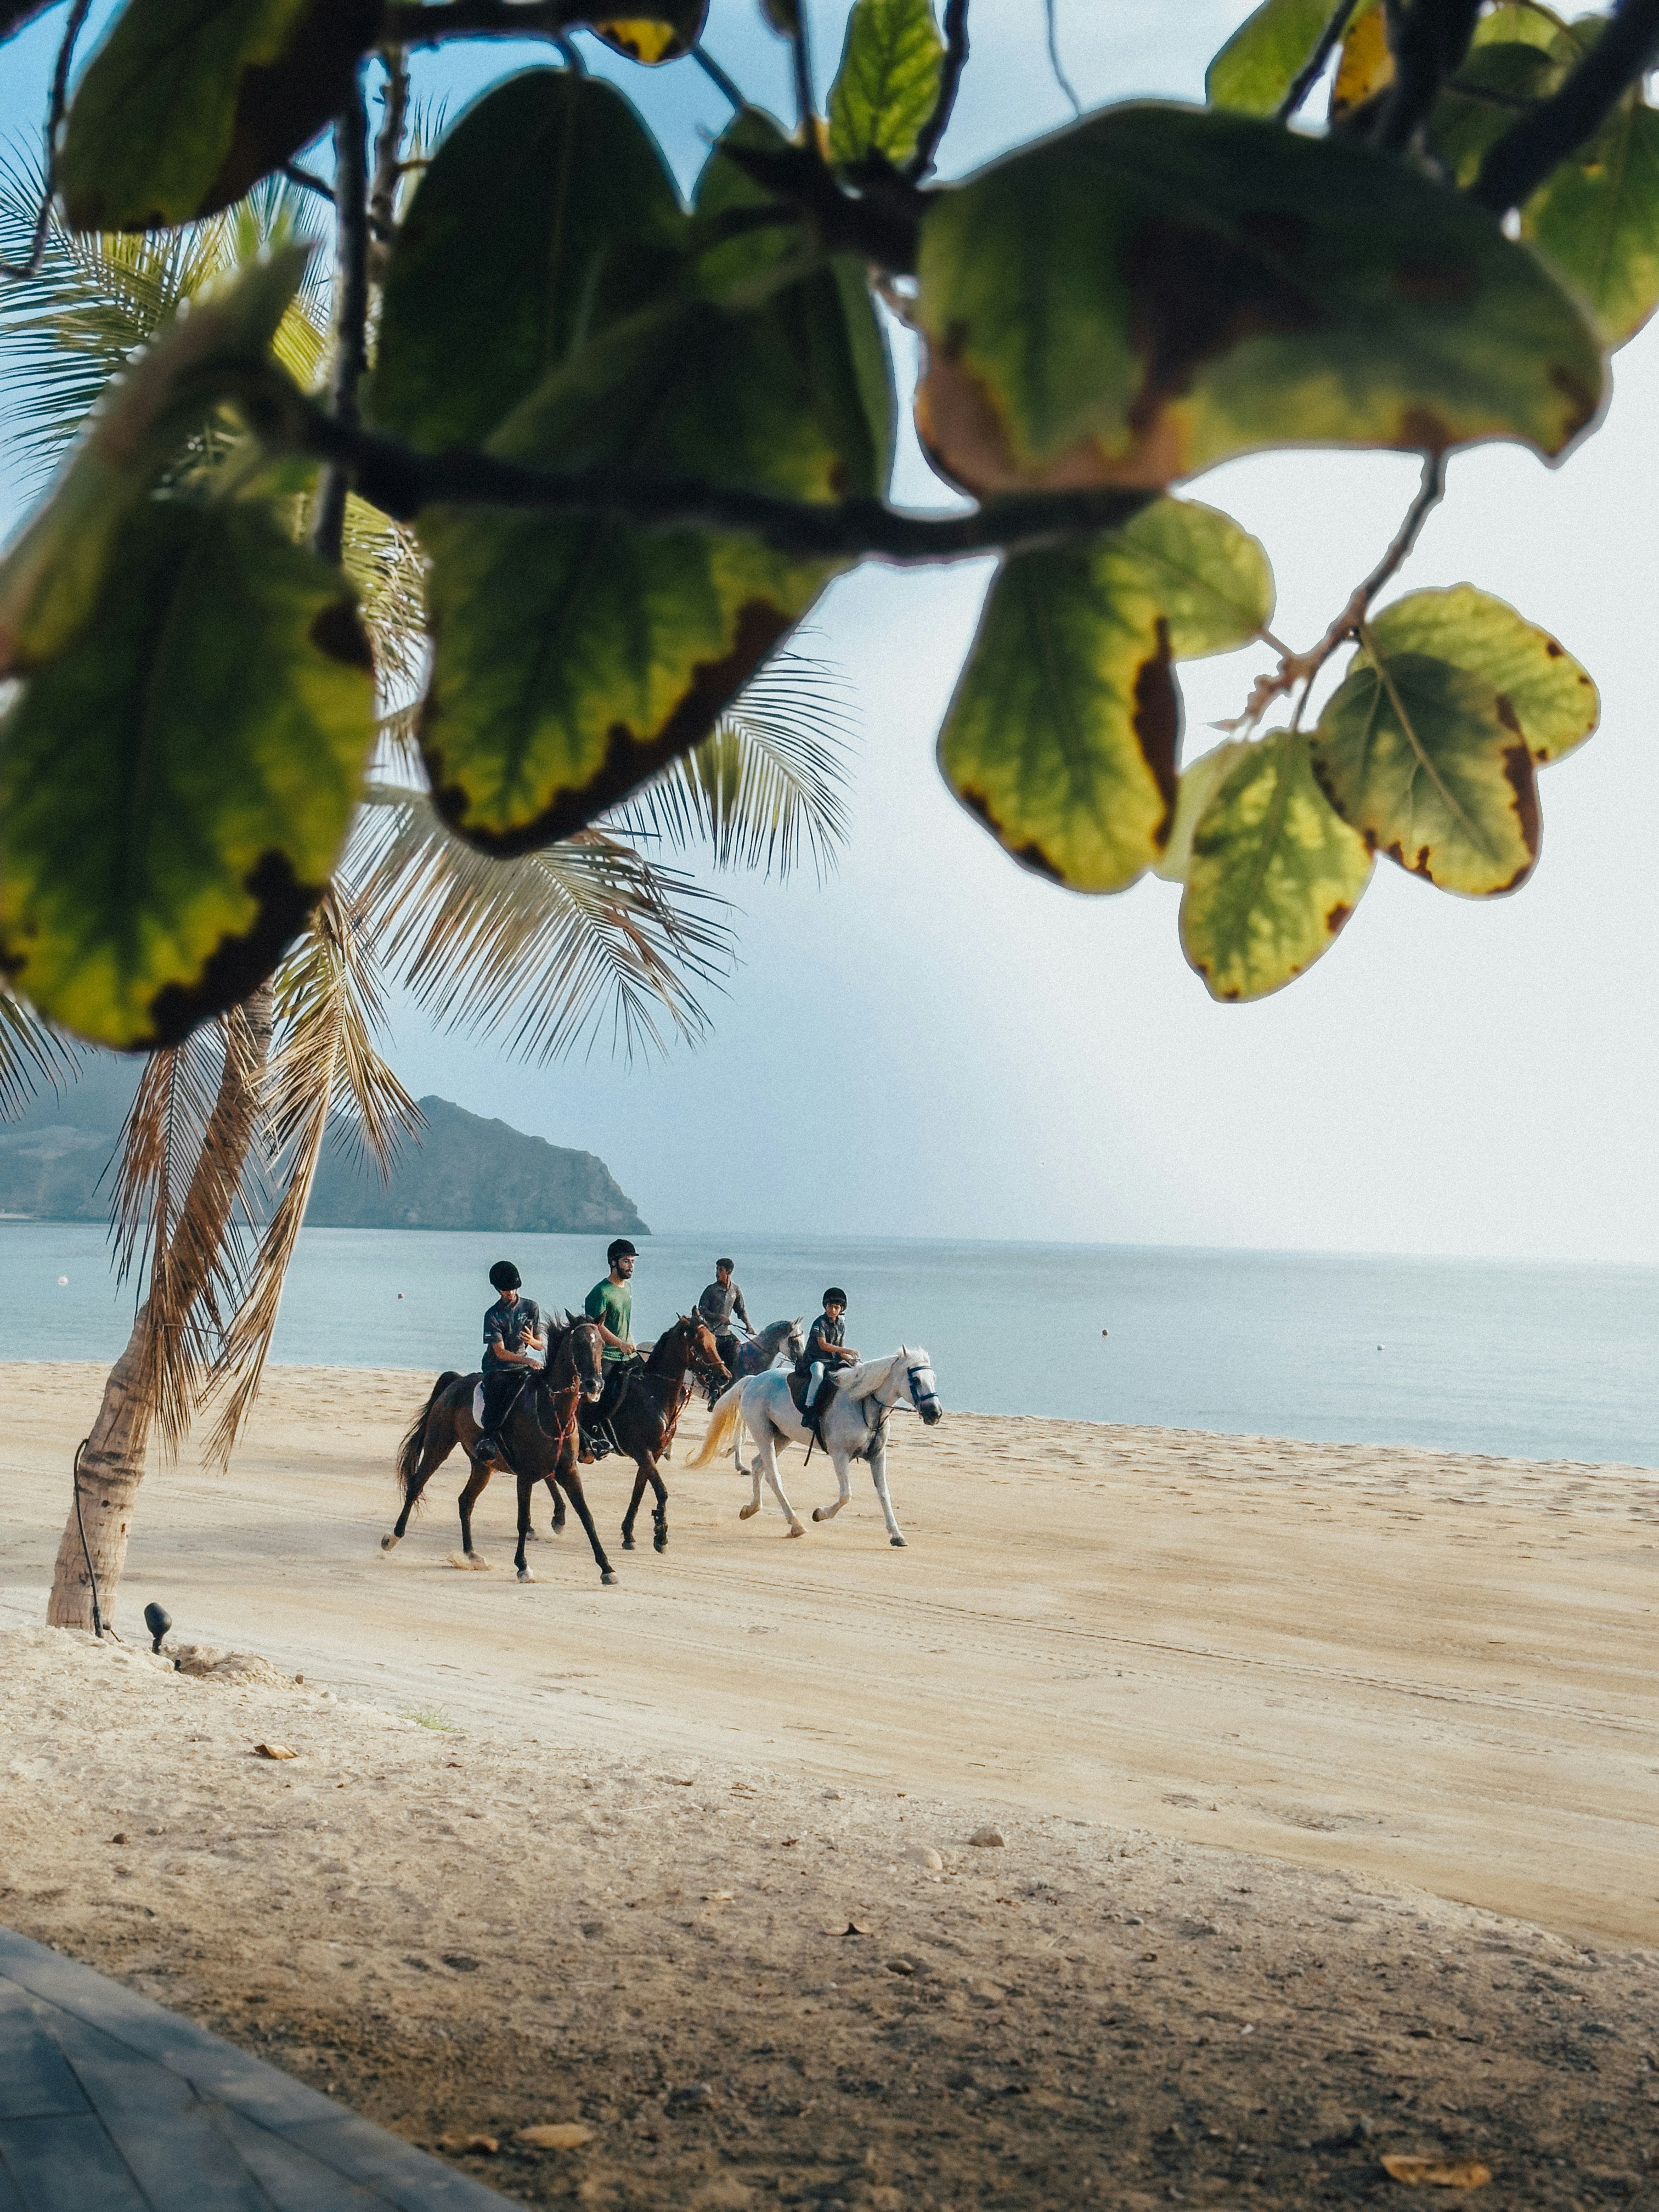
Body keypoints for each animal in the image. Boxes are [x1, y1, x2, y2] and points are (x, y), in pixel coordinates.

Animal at [383, 1319, 615, 1584]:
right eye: (577, 1345)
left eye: (602, 1344)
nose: (594, 1385)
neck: (553, 1411)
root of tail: (456, 1382)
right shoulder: (525, 1476)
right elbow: (523, 1520)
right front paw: (523, 1566)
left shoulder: (569, 1471)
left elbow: (587, 1517)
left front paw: (607, 1569)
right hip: (438, 1445)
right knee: (416, 1485)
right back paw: (393, 1538)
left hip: (482, 1465)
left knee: (466, 1501)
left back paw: (472, 1555)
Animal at [595, 1312, 730, 1554]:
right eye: (699, 1342)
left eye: (715, 1341)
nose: (725, 1376)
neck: (653, 1395)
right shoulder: (642, 1452)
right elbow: (662, 1491)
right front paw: (661, 1534)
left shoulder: (653, 1453)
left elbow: (639, 1492)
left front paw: (629, 1534)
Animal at [691, 1347, 942, 1546]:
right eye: (916, 1380)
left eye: (933, 1378)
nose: (935, 1414)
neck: (864, 1405)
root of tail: (753, 1380)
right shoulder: (840, 1455)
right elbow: (846, 1495)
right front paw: (820, 1514)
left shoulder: (878, 1456)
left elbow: (884, 1494)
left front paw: (896, 1535)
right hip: (763, 1434)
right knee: (773, 1476)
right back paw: (796, 1525)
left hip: (782, 1437)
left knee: (758, 1466)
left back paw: (751, 1509)